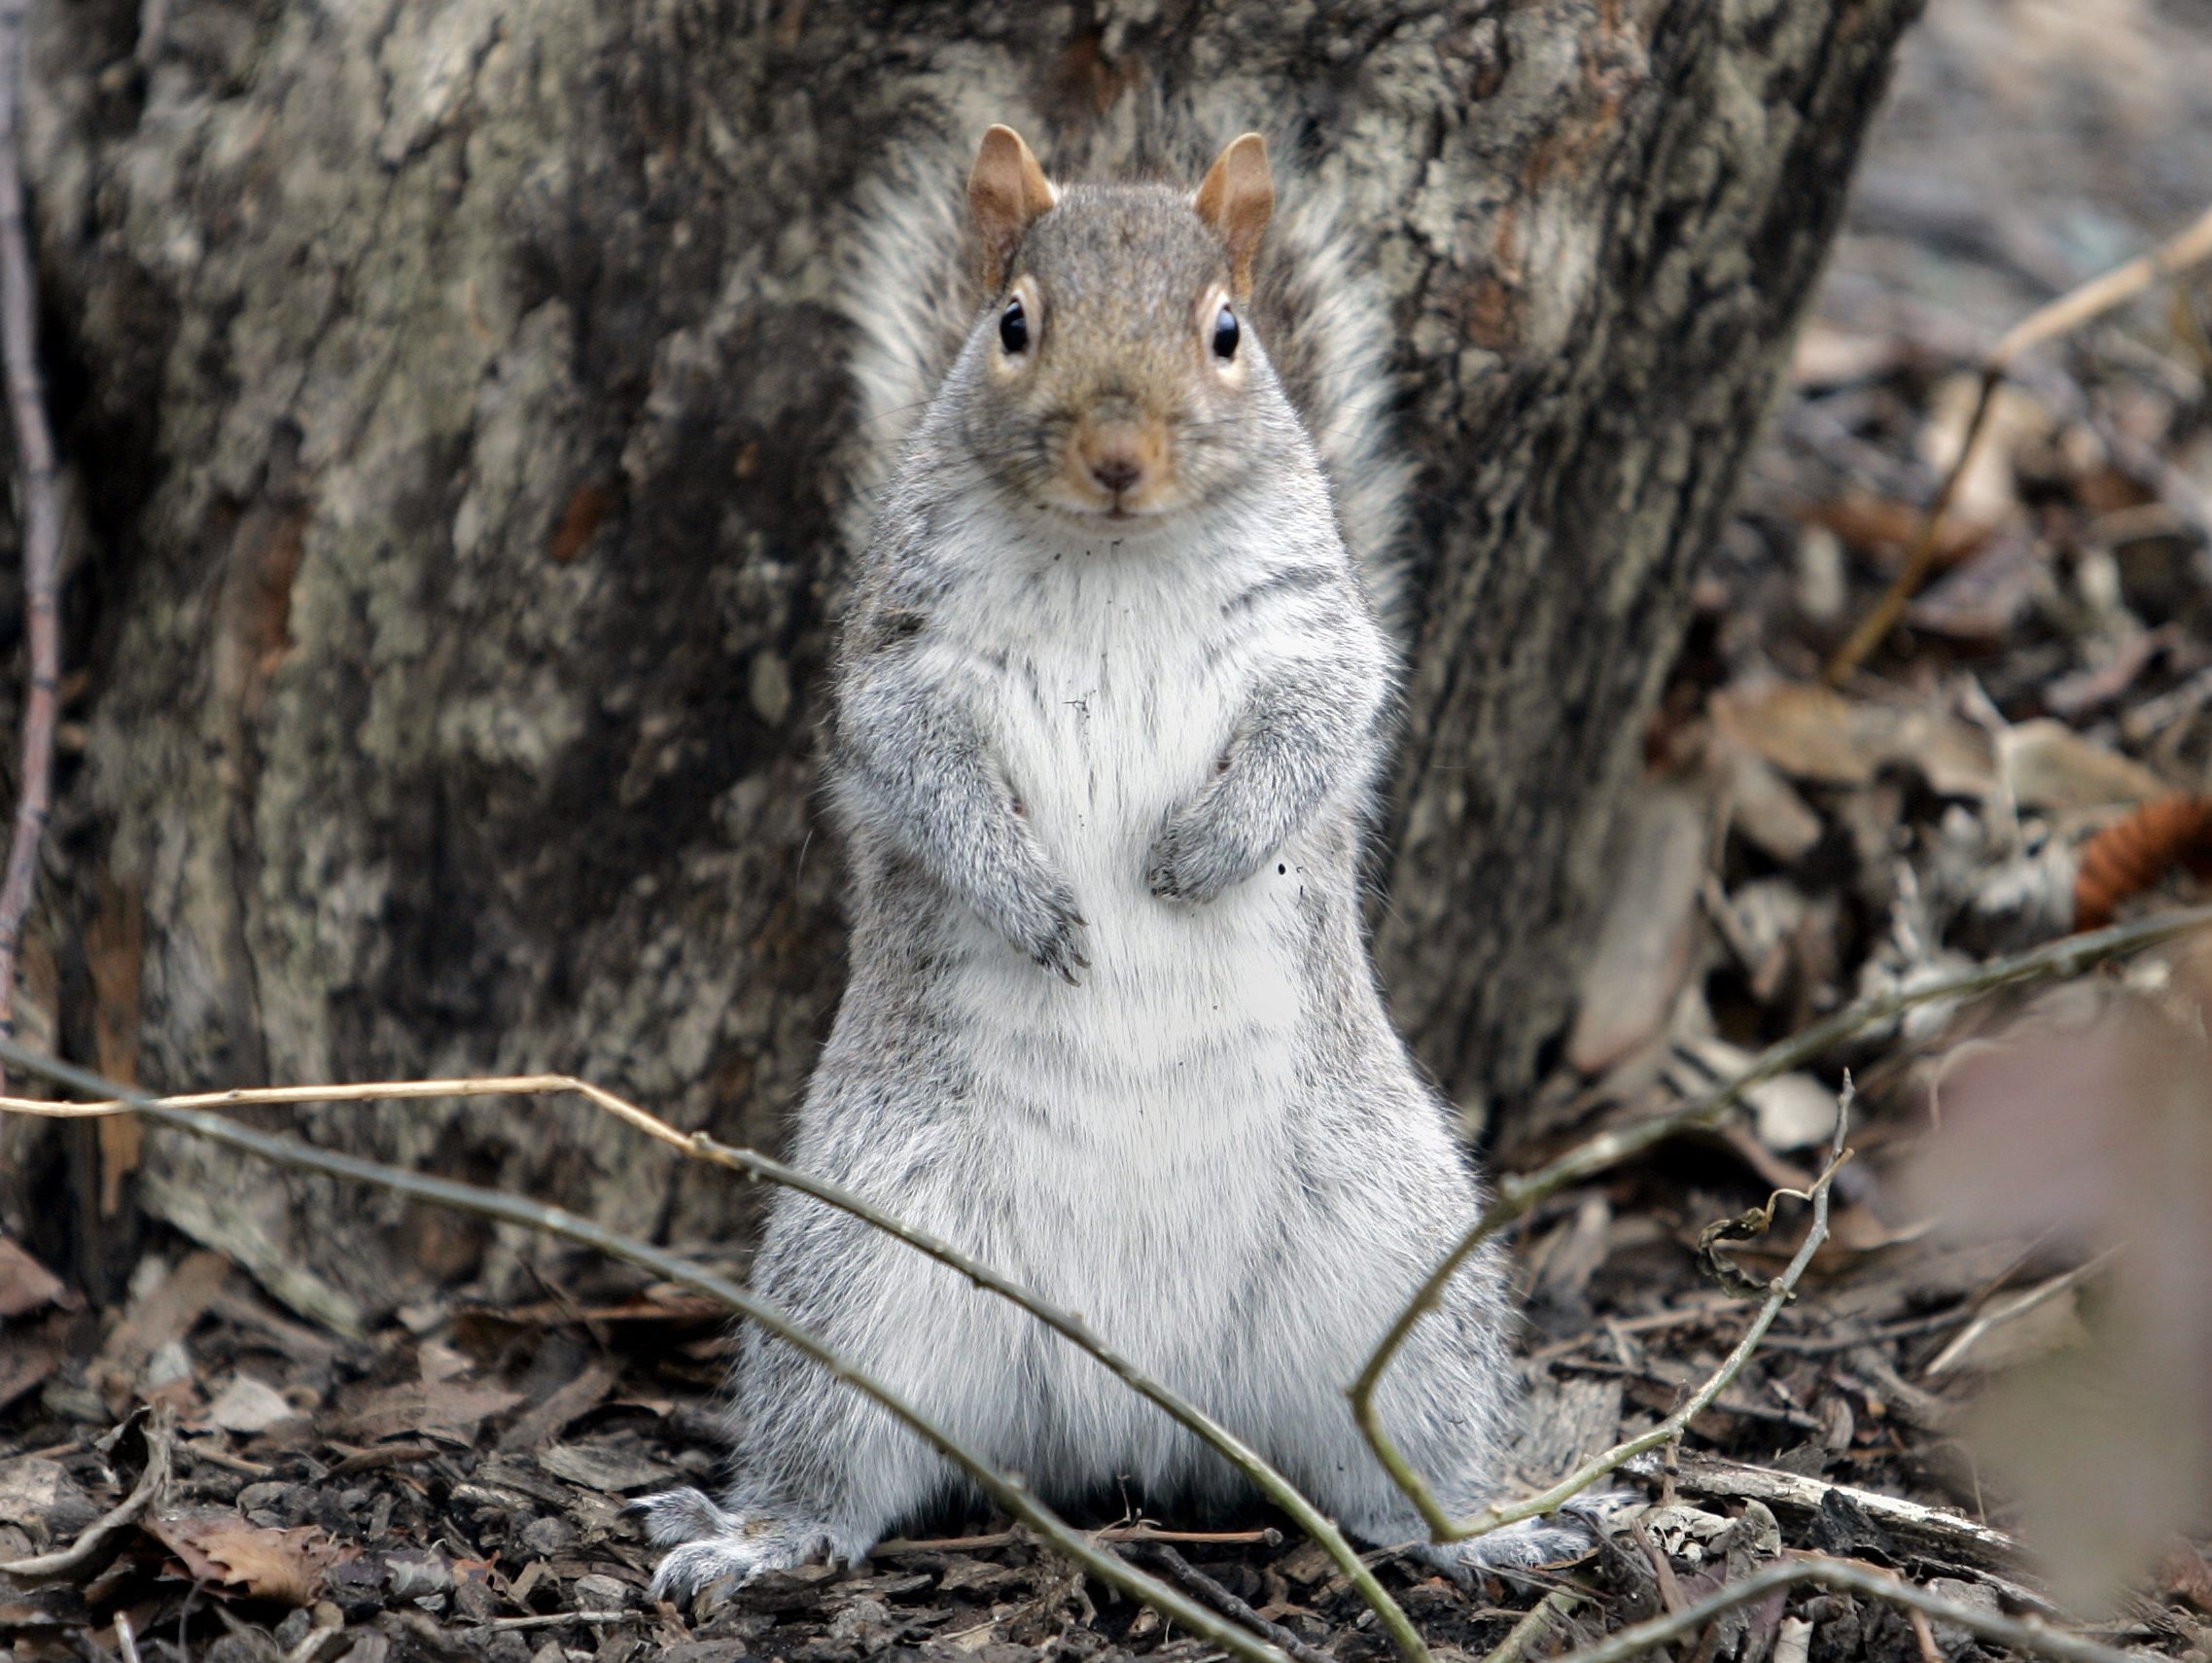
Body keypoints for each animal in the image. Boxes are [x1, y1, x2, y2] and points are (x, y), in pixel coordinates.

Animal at [636, 114, 1586, 1600]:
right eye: (1013, 323)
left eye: (1227, 332)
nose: (1117, 453)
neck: (1114, 555)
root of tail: (1135, 1407)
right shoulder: (902, 654)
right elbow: (915, 758)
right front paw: (1029, 897)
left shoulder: (1313, 633)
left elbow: (1327, 718)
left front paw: (1204, 848)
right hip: (860, 1262)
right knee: (838, 1460)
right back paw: (761, 1534)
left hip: (1395, 1261)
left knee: (1394, 1462)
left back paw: (1478, 1528)